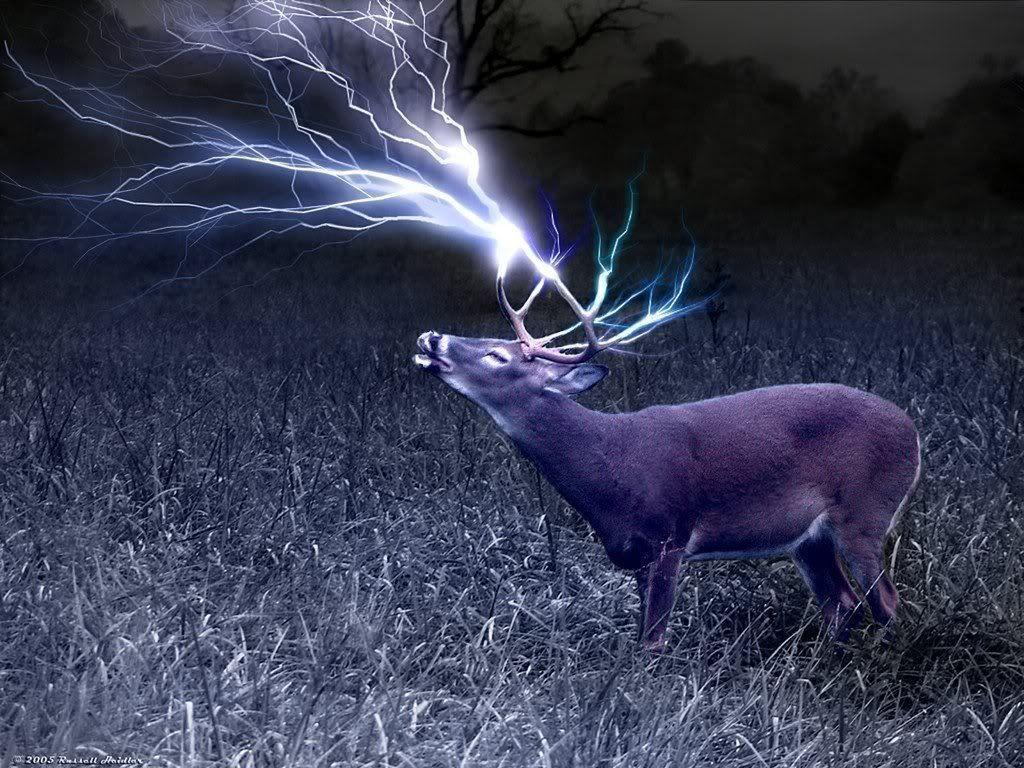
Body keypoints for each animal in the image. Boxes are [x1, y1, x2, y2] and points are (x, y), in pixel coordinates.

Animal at [414, 268, 921, 650]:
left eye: (497, 355)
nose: (431, 337)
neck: (610, 466)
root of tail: (914, 433)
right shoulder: (637, 553)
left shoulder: (669, 536)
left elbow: (652, 643)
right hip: (807, 538)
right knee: (843, 603)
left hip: (865, 511)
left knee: (887, 601)